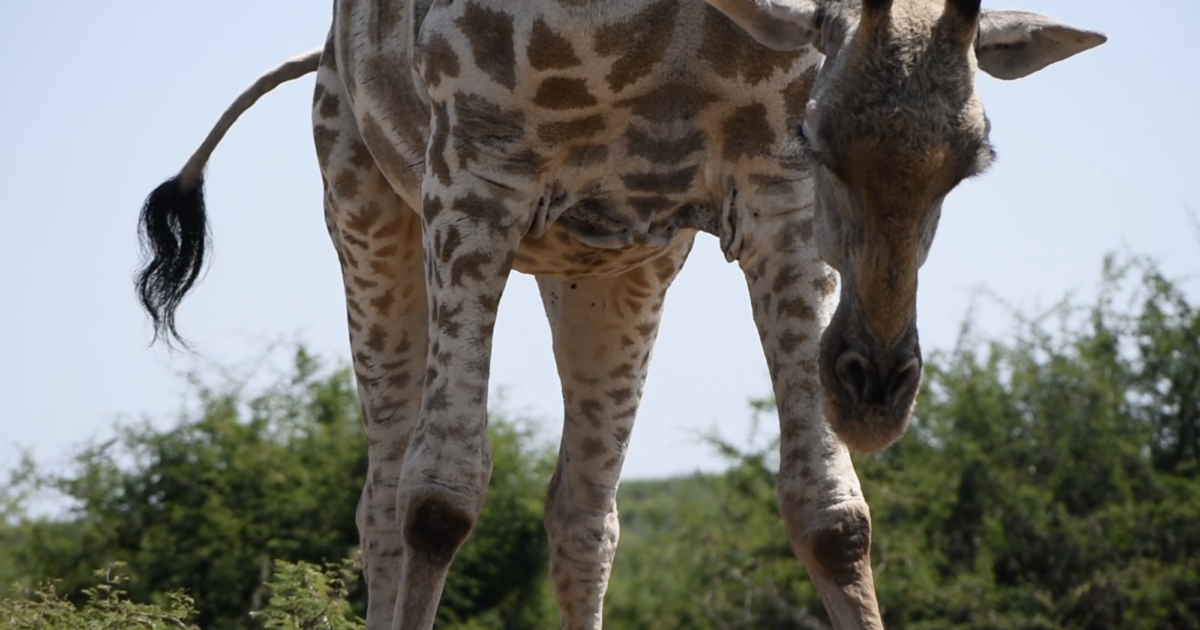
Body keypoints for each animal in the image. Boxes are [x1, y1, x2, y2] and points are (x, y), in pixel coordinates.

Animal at [134, 1, 1105, 628]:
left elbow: (834, 516)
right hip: (362, 199)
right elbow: (439, 499)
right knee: (383, 501)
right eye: (821, 138)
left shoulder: (774, 201)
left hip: (615, 270)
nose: (873, 395)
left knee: (581, 512)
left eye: (971, 160)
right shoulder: (473, 177)